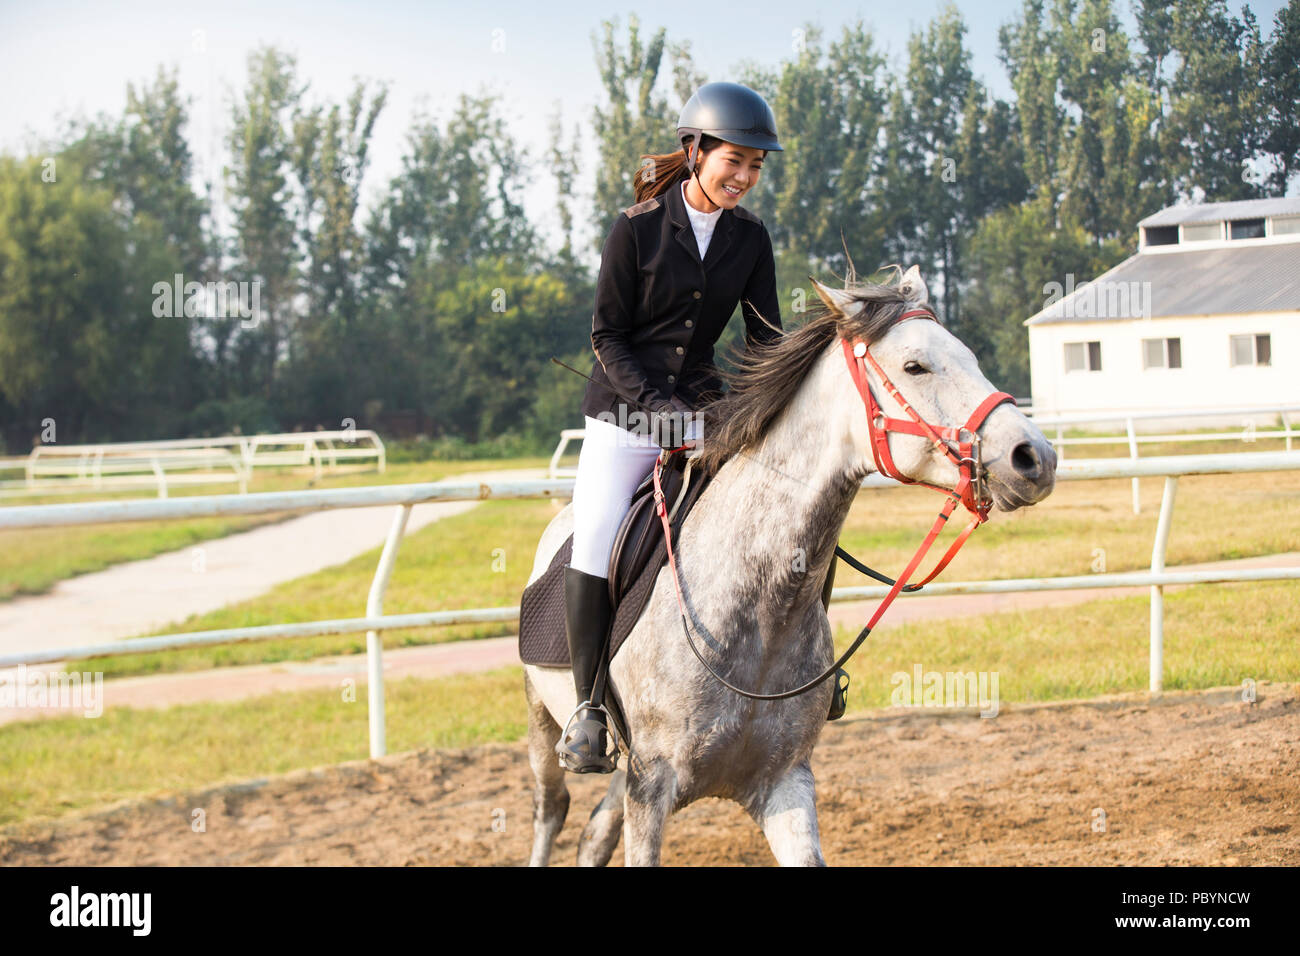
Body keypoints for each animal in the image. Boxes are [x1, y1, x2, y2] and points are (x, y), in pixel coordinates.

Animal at [522, 266, 1057, 866]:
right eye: (915, 366)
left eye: (969, 356)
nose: (1034, 457)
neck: (759, 613)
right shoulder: (651, 786)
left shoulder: (784, 784)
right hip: (545, 723)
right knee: (552, 810)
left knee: (594, 833)